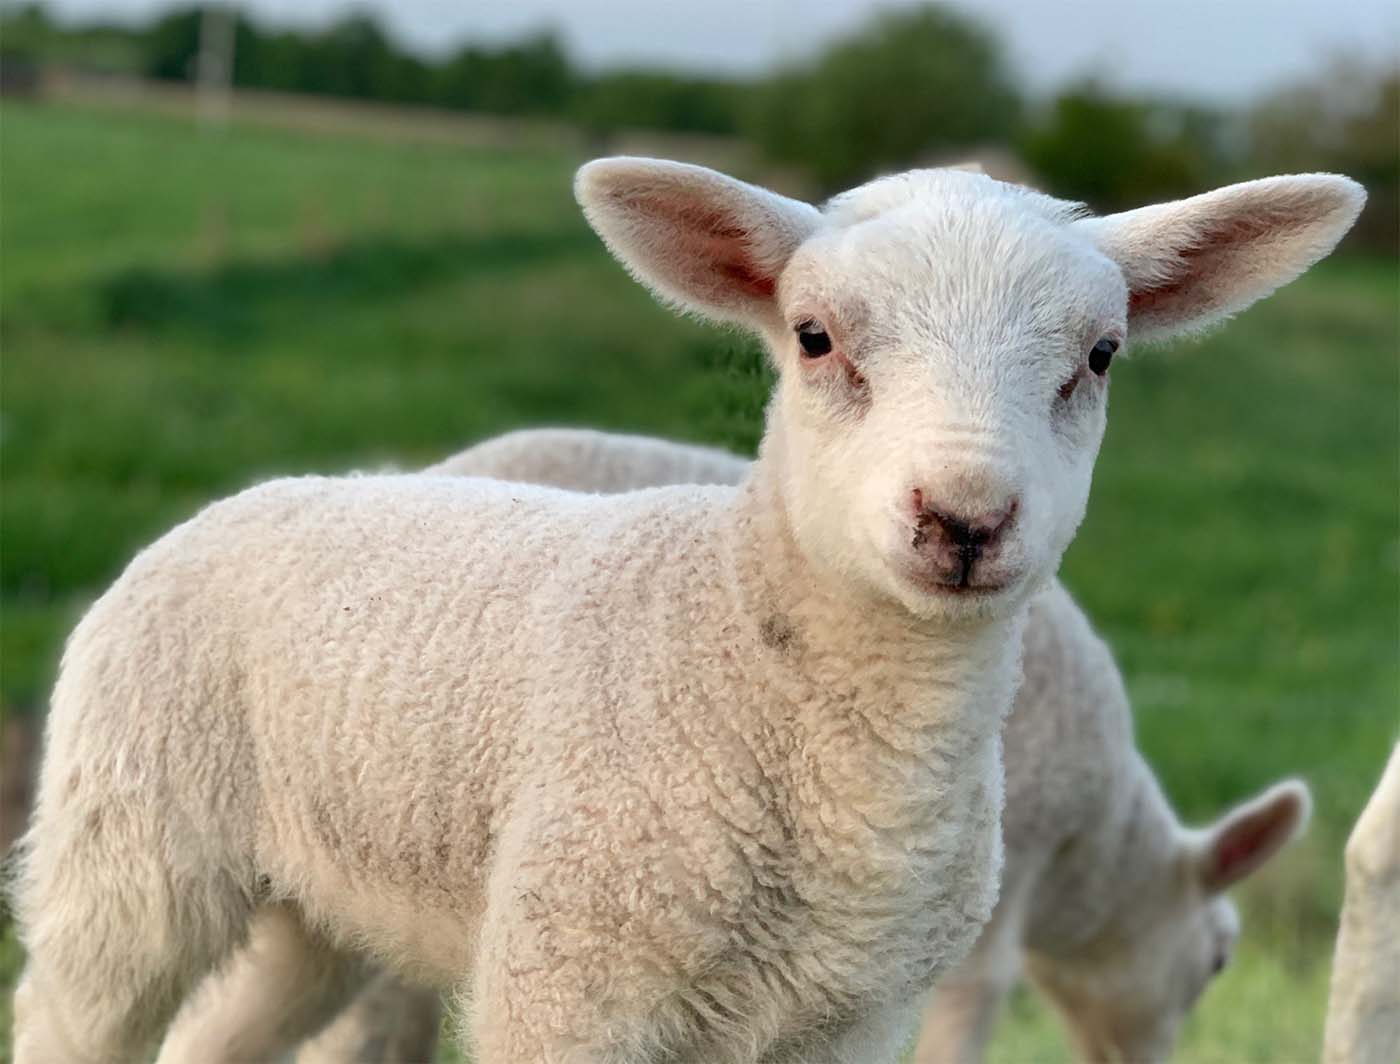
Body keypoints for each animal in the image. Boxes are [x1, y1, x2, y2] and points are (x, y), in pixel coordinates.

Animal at [10, 158, 1362, 1064]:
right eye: (812, 338)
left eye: (1099, 356)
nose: (964, 517)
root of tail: (261, 491)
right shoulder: (571, 979)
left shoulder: (851, 1010)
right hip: (129, 848)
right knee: (74, 1012)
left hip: (316, 902)